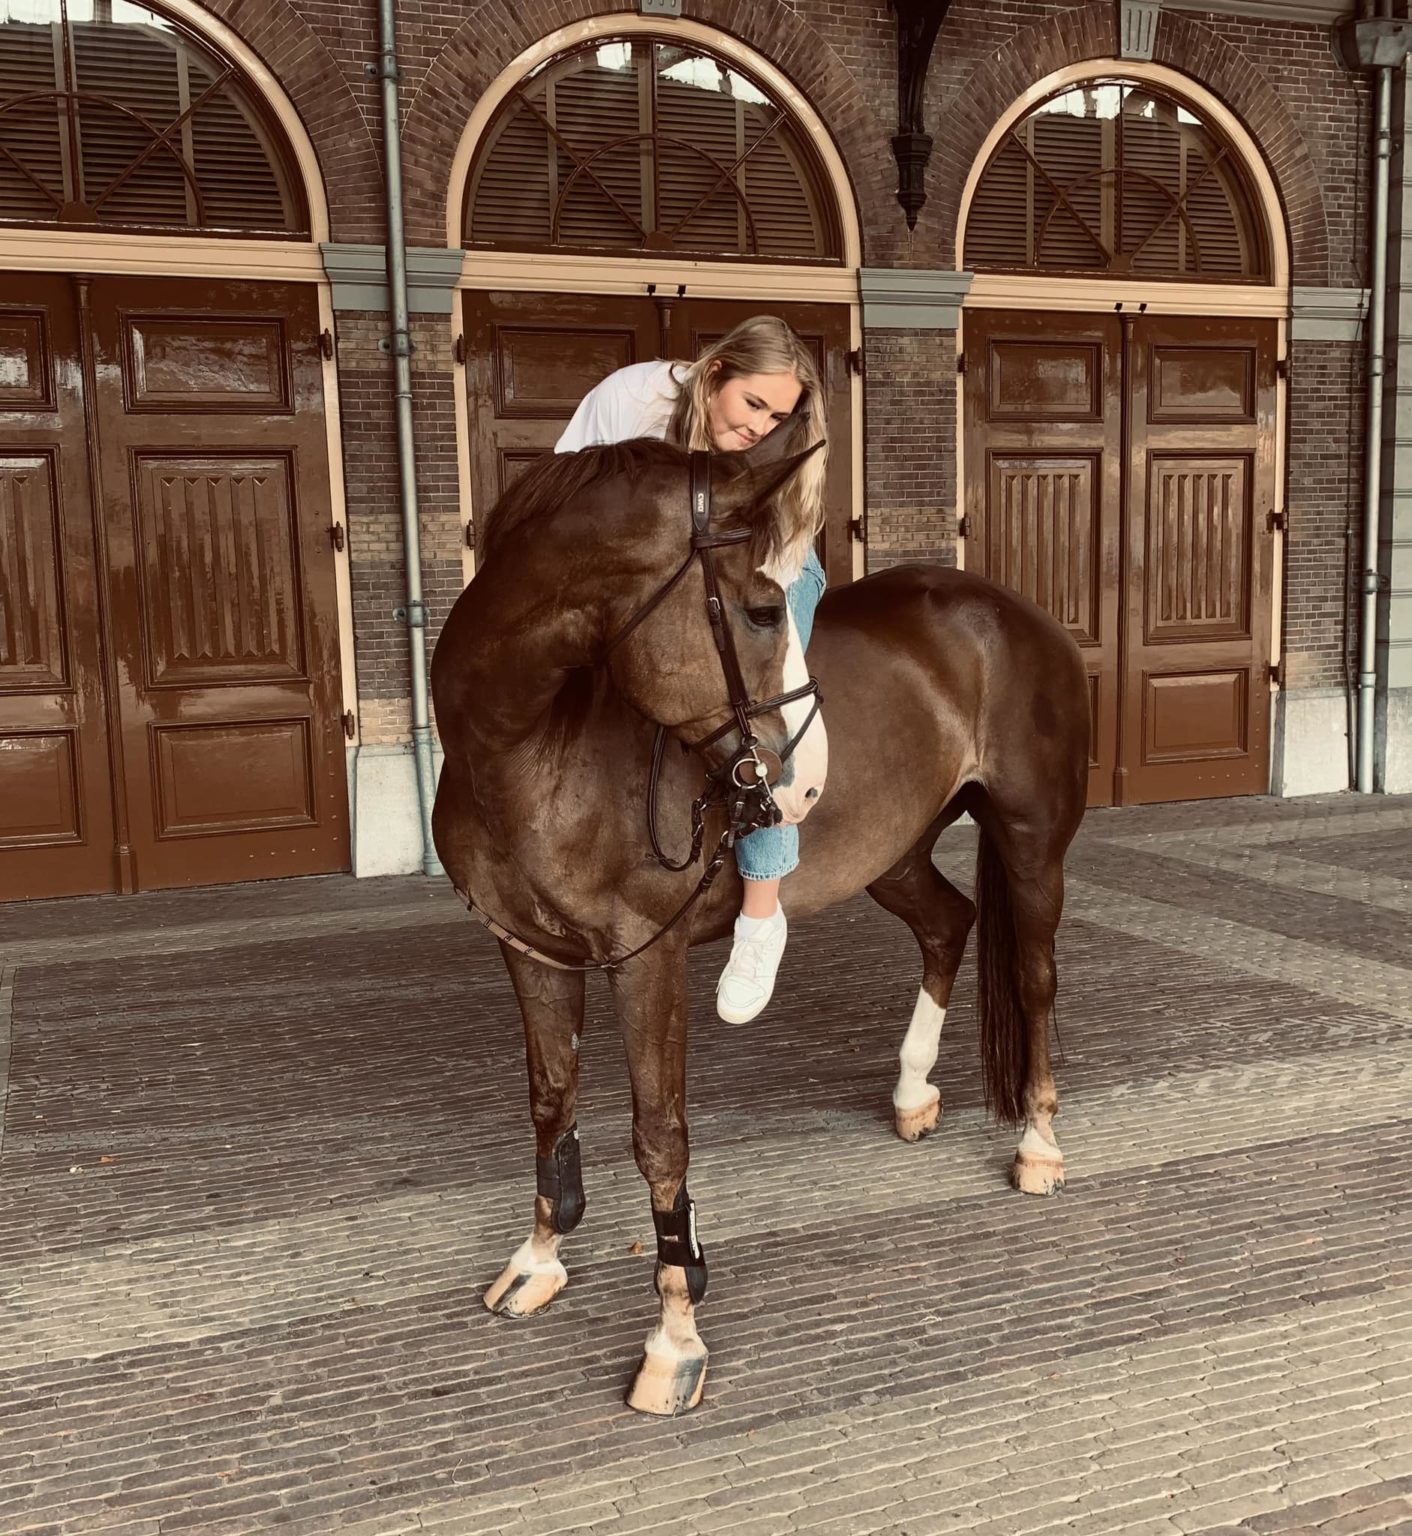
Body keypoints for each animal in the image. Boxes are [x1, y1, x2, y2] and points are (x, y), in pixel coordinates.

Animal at [430, 437, 1090, 1416]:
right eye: (759, 608)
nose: (803, 778)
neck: (530, 745)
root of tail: (1013, 612)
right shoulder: (530, 952)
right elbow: (551, 1103)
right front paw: (540, 1260)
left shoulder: (646, 959)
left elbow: (659, 1136)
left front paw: (674, 1337)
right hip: (891, 853)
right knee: (949, 924)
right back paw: (912, 1091)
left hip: (1030, 840)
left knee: (1035, 978)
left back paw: (1039, 1144)